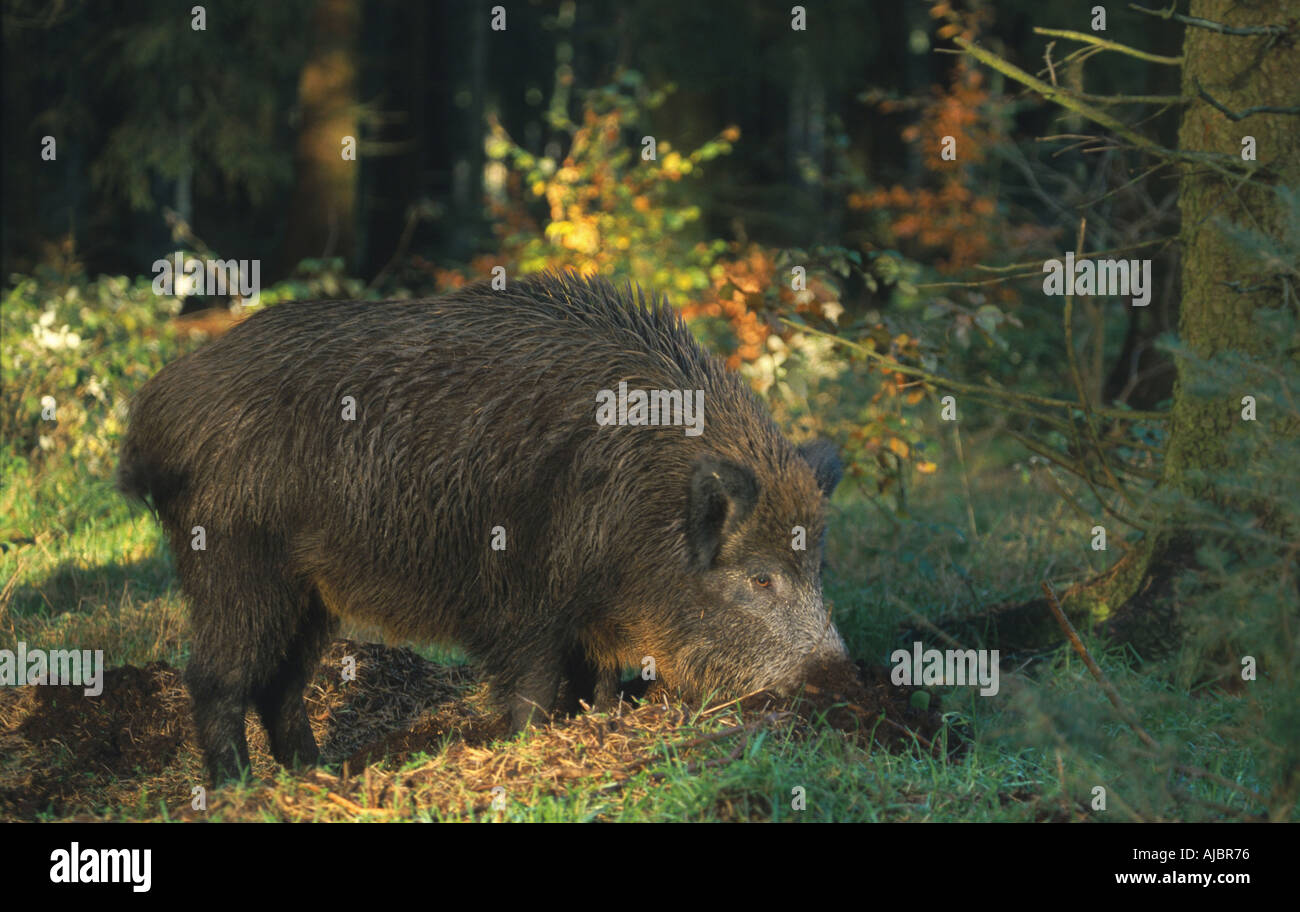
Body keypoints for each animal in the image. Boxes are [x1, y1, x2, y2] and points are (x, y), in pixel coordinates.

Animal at [117, 271, 849, 783]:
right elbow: (536, 688)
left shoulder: (588, 617)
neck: (640, 499)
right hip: (235, 564)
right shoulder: (522, 603)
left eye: (817, 569)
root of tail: (158, 407)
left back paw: (314, 775)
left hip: (310, 592)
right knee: (215, 676)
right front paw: (527, 748)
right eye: (760, 579)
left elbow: (597, 687)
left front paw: (598, 728)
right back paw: (239, 788)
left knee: (280, 683)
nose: (840, 676)